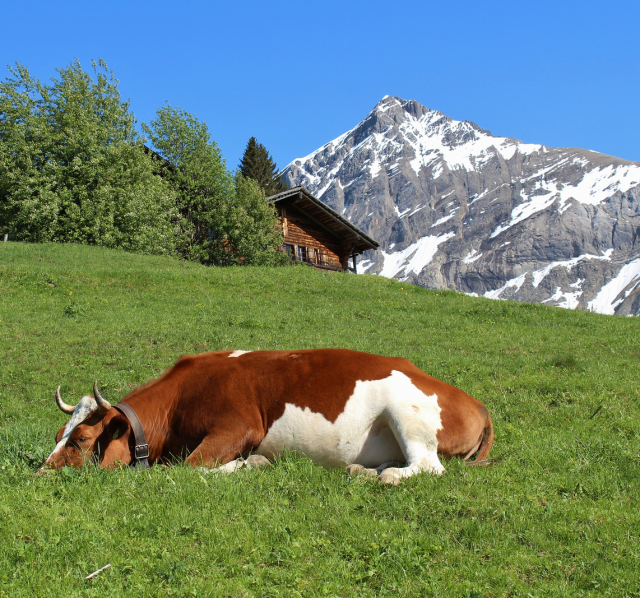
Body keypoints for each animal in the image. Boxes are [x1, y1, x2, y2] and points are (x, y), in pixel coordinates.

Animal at [40, 349, 494, 484]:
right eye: (60, 432)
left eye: (81, 439)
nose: (42, 472)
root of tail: (477, 403)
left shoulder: (239, 425)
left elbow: (188, 468)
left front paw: (248, 464)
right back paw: (363, 470)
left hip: (407, 413)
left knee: (428, 466)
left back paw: (388, 476)